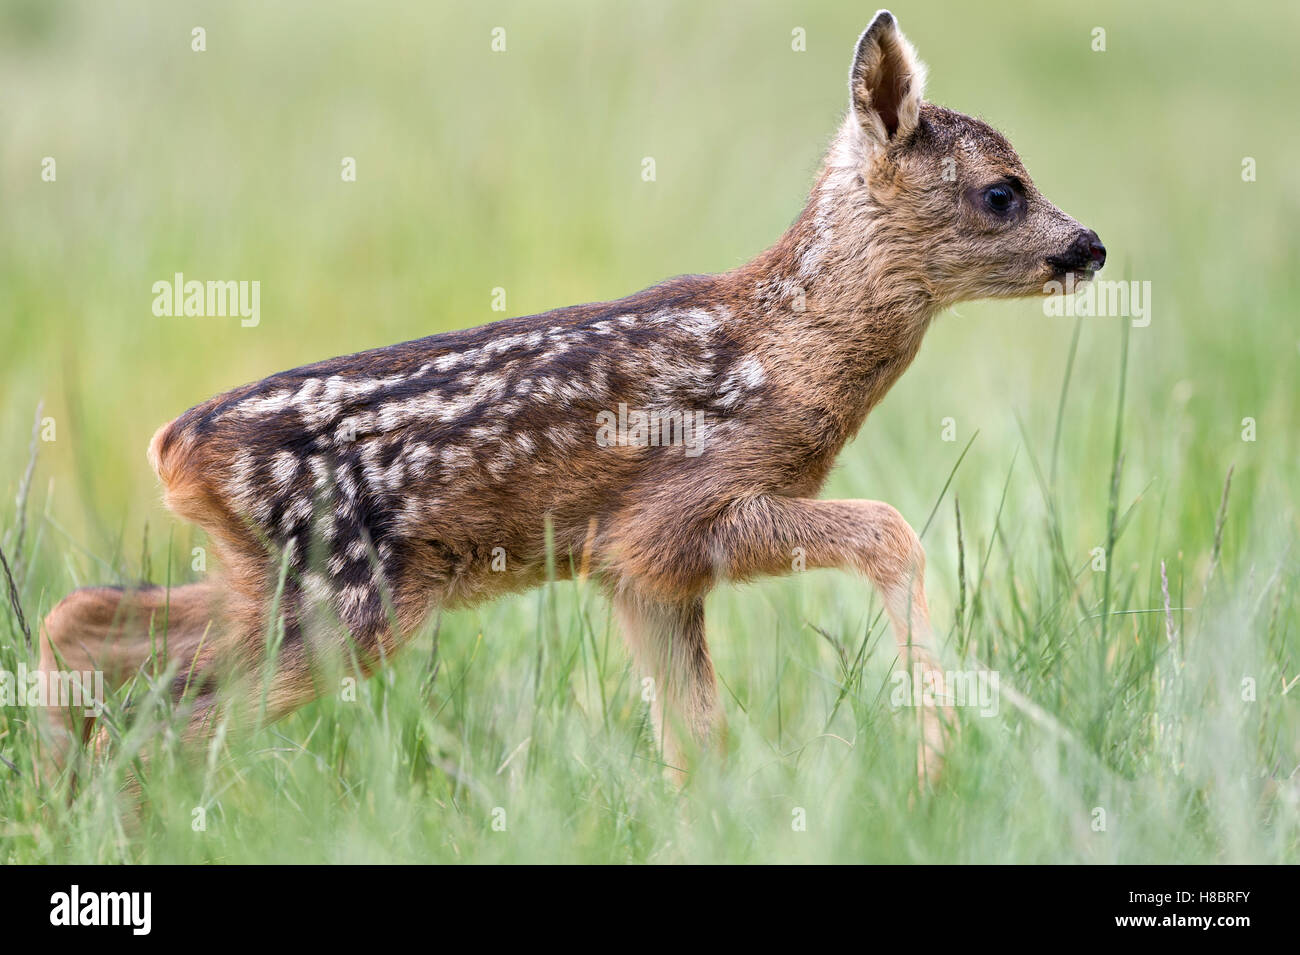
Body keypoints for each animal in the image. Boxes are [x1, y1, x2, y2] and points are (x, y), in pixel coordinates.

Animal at [37, 11, 1104, 787]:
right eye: (1002, 192)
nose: (1091, 246)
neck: (788, 347)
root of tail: (175, 448)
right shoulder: (674, 519)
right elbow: (891, 529)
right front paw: (938, 765)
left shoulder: (635, 573)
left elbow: (699, 742)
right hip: (347, 599)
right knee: (165, 721)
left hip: (271, 583)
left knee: (85, 623)